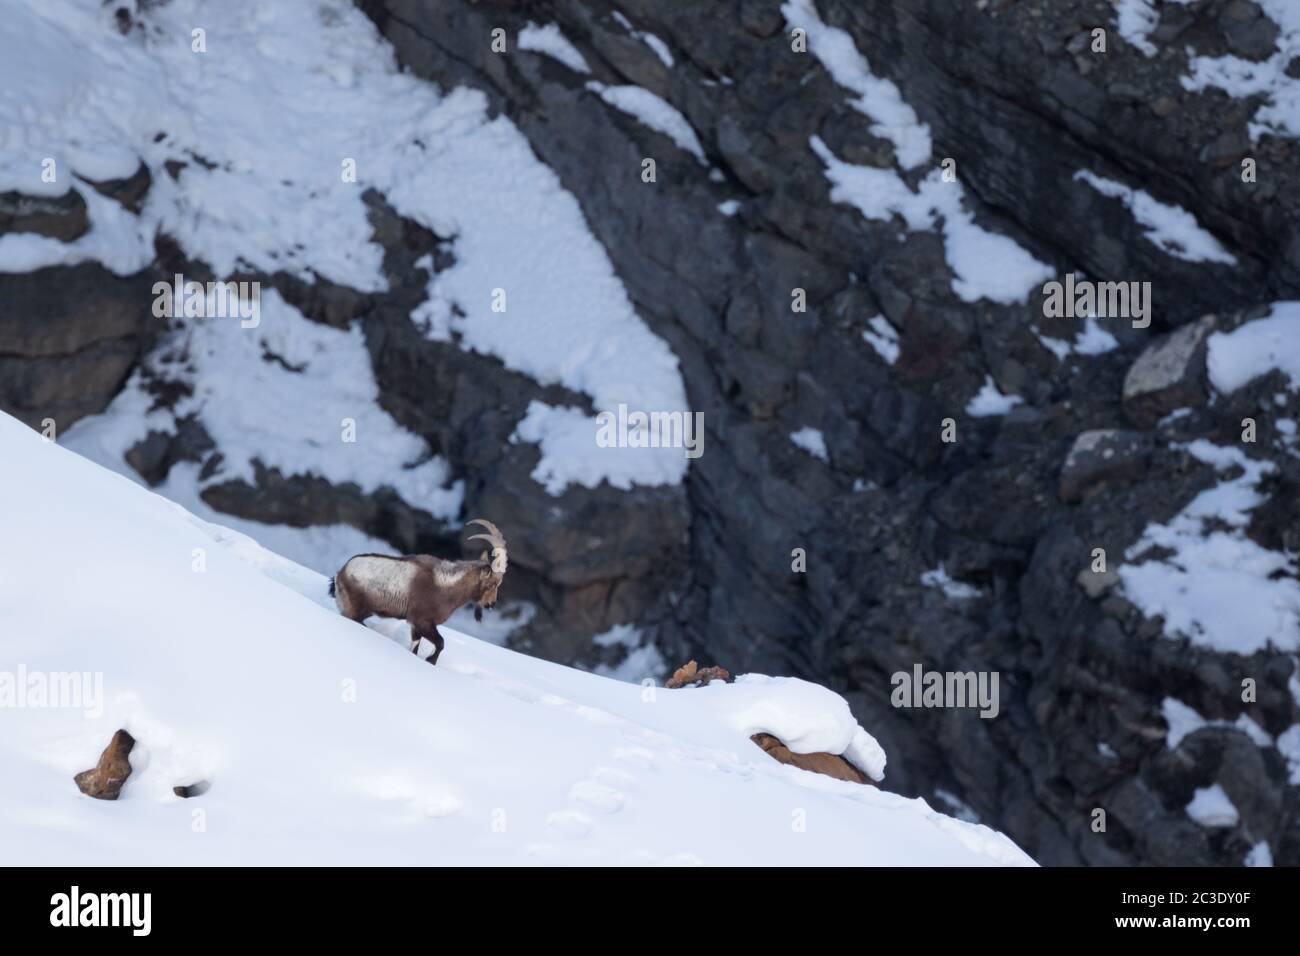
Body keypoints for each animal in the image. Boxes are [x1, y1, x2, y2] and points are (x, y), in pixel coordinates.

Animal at [328, 519, 508, 666]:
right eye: (492, 584)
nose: (491, 604)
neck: (445, 585)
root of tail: (340, 574)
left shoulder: (416, 627)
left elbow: (415, 646)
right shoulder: (422, 621)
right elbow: (441, 642)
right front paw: (430, 660)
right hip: (354, 609)